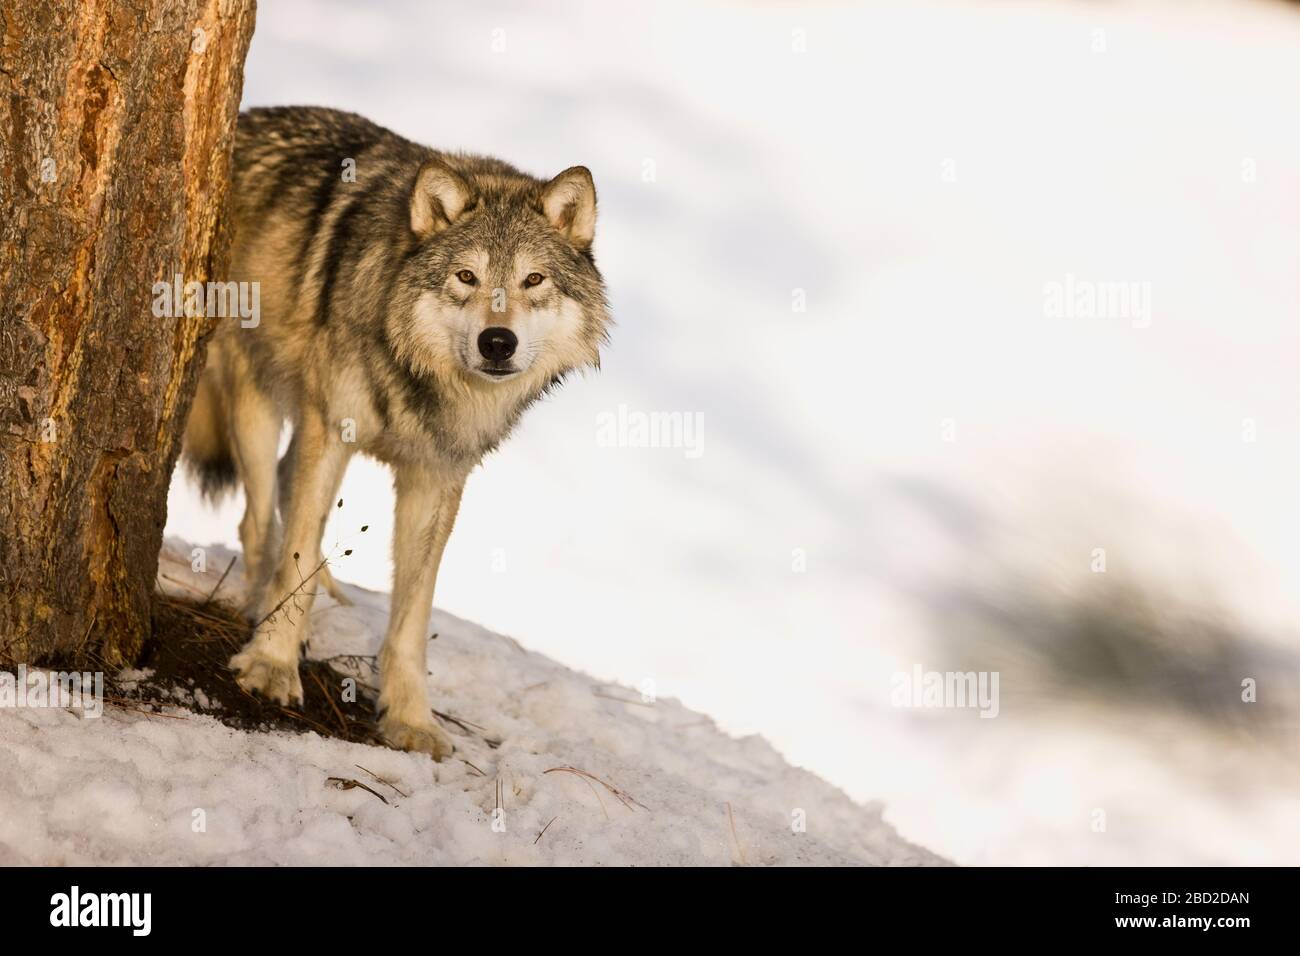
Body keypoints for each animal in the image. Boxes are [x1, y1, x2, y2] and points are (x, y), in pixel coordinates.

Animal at [181, 107, 610, 759]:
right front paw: (272, 664)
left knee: (281, 498)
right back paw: (267, 613)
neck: (419, 375)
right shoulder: (330, 432)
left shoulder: (437, 477)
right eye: (466, 276)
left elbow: (413, 615)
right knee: (258, 523)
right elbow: (297, 553)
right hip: (256, 398)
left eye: (534, 280)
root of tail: (244, 121)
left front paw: (410, 720)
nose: (497, 342)